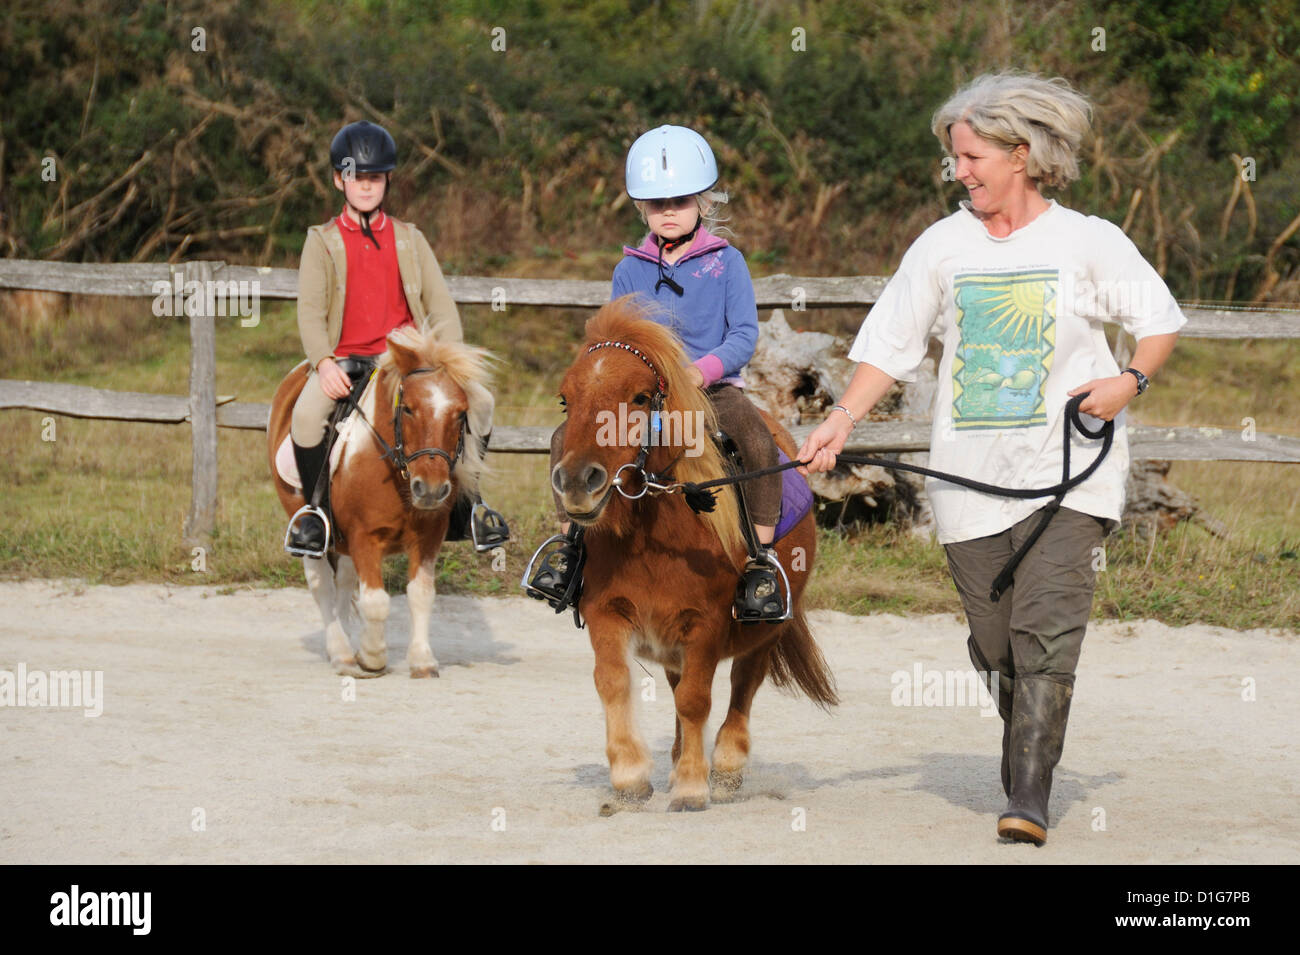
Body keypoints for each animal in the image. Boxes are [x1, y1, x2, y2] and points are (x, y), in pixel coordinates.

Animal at [267, 324, 491, 678]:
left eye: (460, 414)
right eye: (408, 408)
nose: (430, 490)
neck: (397, 474)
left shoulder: (428, 537)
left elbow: (421, 594)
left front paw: (422, 660)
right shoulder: (364, 537)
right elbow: (376, 602)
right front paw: (372, 656)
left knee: (344, 581)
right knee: (322, 585)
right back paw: (342, 654)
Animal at [550, 298, 838, 811]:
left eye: (641, 397)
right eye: (566, 400)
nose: (579, 483)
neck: (655, 537)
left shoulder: (705, 624)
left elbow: (696, 700)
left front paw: (690, 785)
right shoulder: (608, 613)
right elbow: (614, 683)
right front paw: (630, 777)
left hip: (761, 635)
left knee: (742, 687)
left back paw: (724, 767)